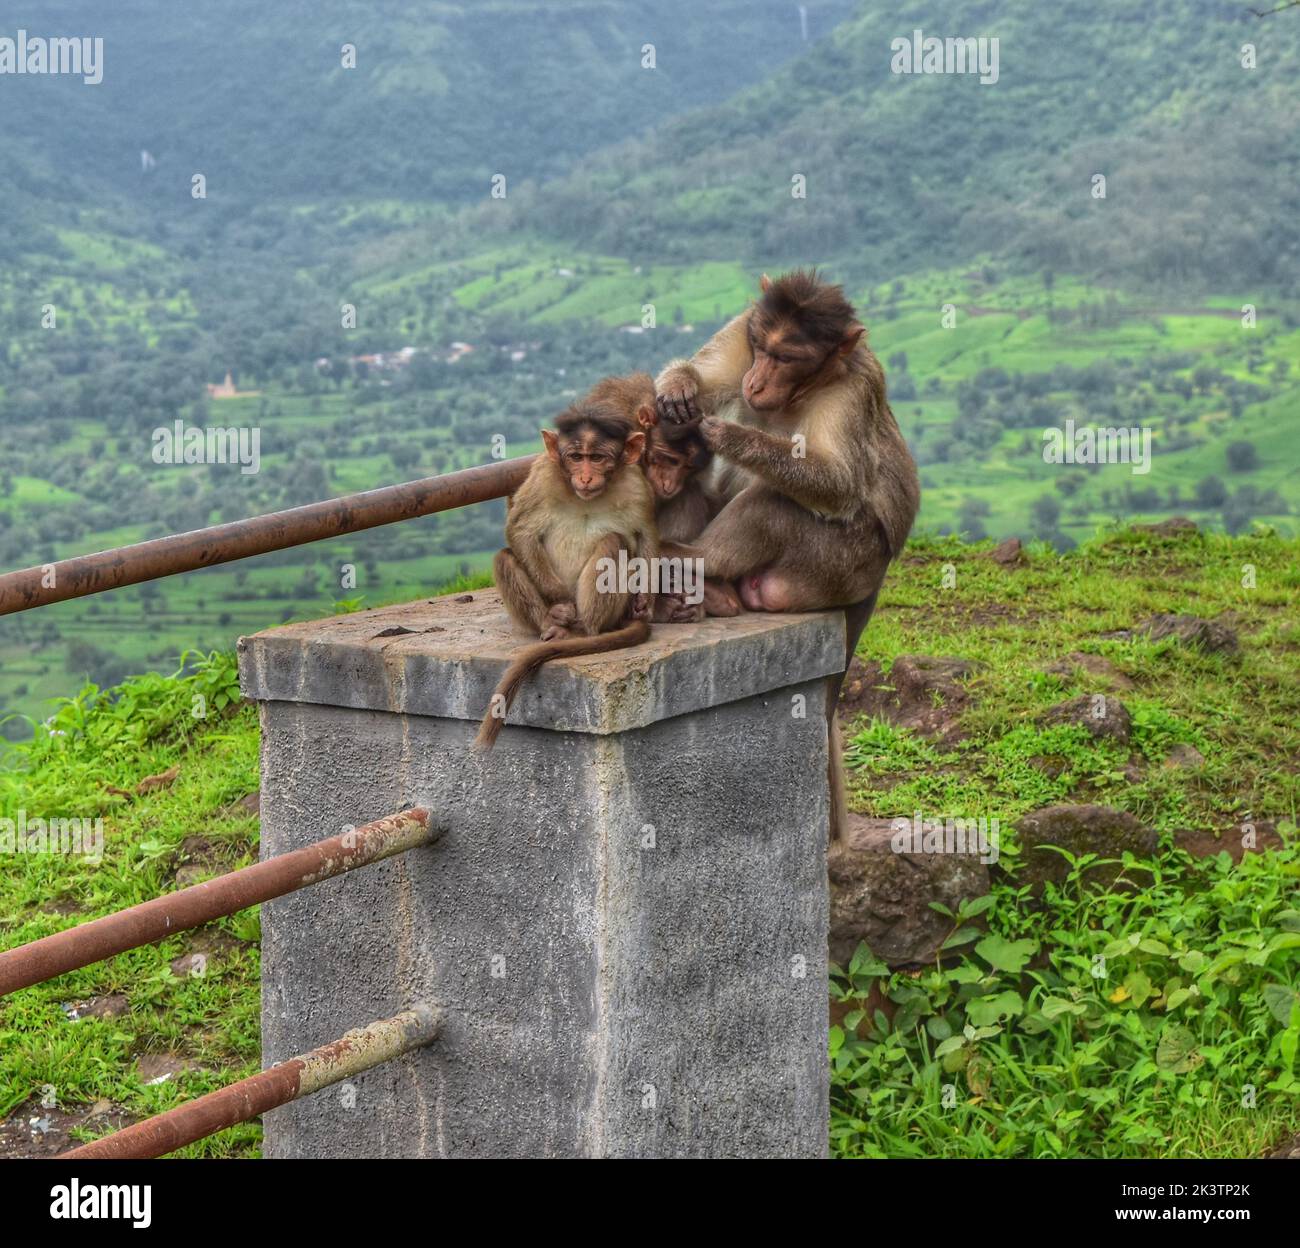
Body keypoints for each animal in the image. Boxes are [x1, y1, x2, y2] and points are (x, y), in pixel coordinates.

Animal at [475, 391, 658, 749]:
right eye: (575, 456)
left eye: (597, 457)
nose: (585, 476)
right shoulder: (543, 474)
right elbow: (520, 531)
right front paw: (560, 603)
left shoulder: (637, 486)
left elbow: (644, 534)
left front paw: (645, 601)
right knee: (505, 558)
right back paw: (554, 624)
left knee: (612, 543)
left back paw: (586, 628)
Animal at [654, 269, 920, 838]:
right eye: (762, 348)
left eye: (788, 357)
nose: (755, 381)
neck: (810, 383)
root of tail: (875, 582)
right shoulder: (743, 326)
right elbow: (706, 377)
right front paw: (679, 387)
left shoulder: (851, 393)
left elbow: (838, 484)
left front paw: (724, 432)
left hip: (838, 565)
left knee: (773, 503)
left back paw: (689, 563)